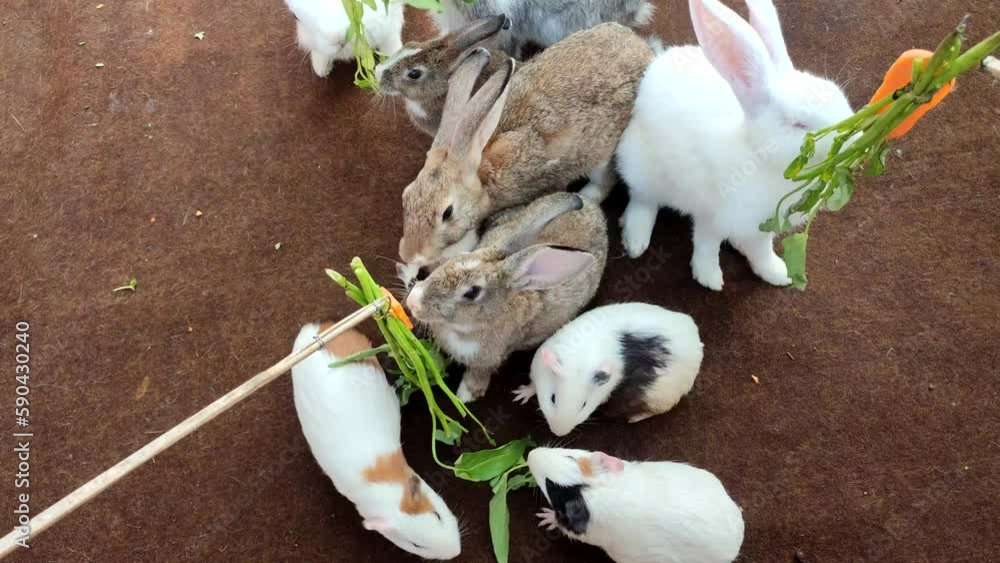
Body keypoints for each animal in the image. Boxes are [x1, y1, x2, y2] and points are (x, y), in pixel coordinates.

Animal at [398, 24, 653, 269]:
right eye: (406, 196)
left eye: (447, 212)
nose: (409, 255)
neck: (484, 176)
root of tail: (642, 48)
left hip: (601, 153)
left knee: (605, 180)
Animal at [404, 192, 609, 402]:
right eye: (453, 260)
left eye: (472, 292)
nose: (413, 301)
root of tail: (596, 211)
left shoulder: (491, 359)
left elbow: (478, 375)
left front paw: (464, 396)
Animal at [615, 0, 854, 290]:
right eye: (798, 123)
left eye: (840, 97)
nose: (855, 138)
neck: (760, 157)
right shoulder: (711, 213)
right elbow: (706, 243)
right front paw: (709, 278)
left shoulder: (763, 225)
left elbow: (761, 251)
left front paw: (778, 274)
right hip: (644, 168)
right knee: (642, 198)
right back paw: (635, 238)